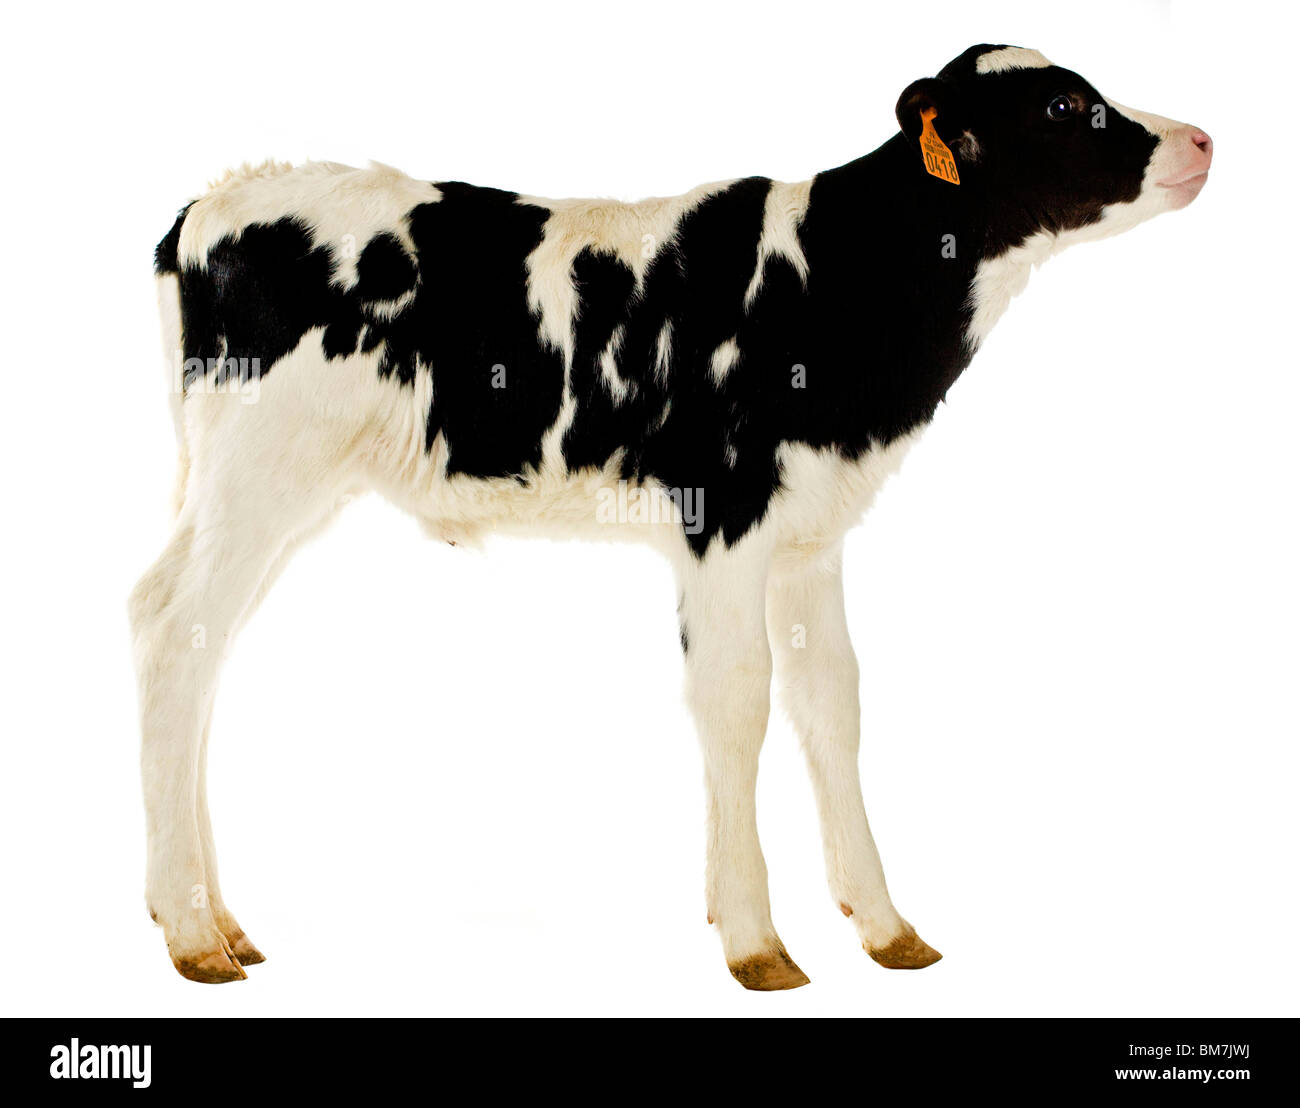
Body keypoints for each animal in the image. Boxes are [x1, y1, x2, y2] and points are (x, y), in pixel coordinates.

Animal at [130, 43, 1212, 988]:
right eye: (1065, 106)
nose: (1201, 138)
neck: (838, 286)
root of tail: (218, 197)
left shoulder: (812, 534)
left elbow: (833, 701)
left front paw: (884, 925)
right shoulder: (722, 517)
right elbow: (738, 700)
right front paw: (755, 939)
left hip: (267, 485)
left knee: (196, 641)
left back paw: (214, 915)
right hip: (261, 468)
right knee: (176, 635)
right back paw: (191, 934)